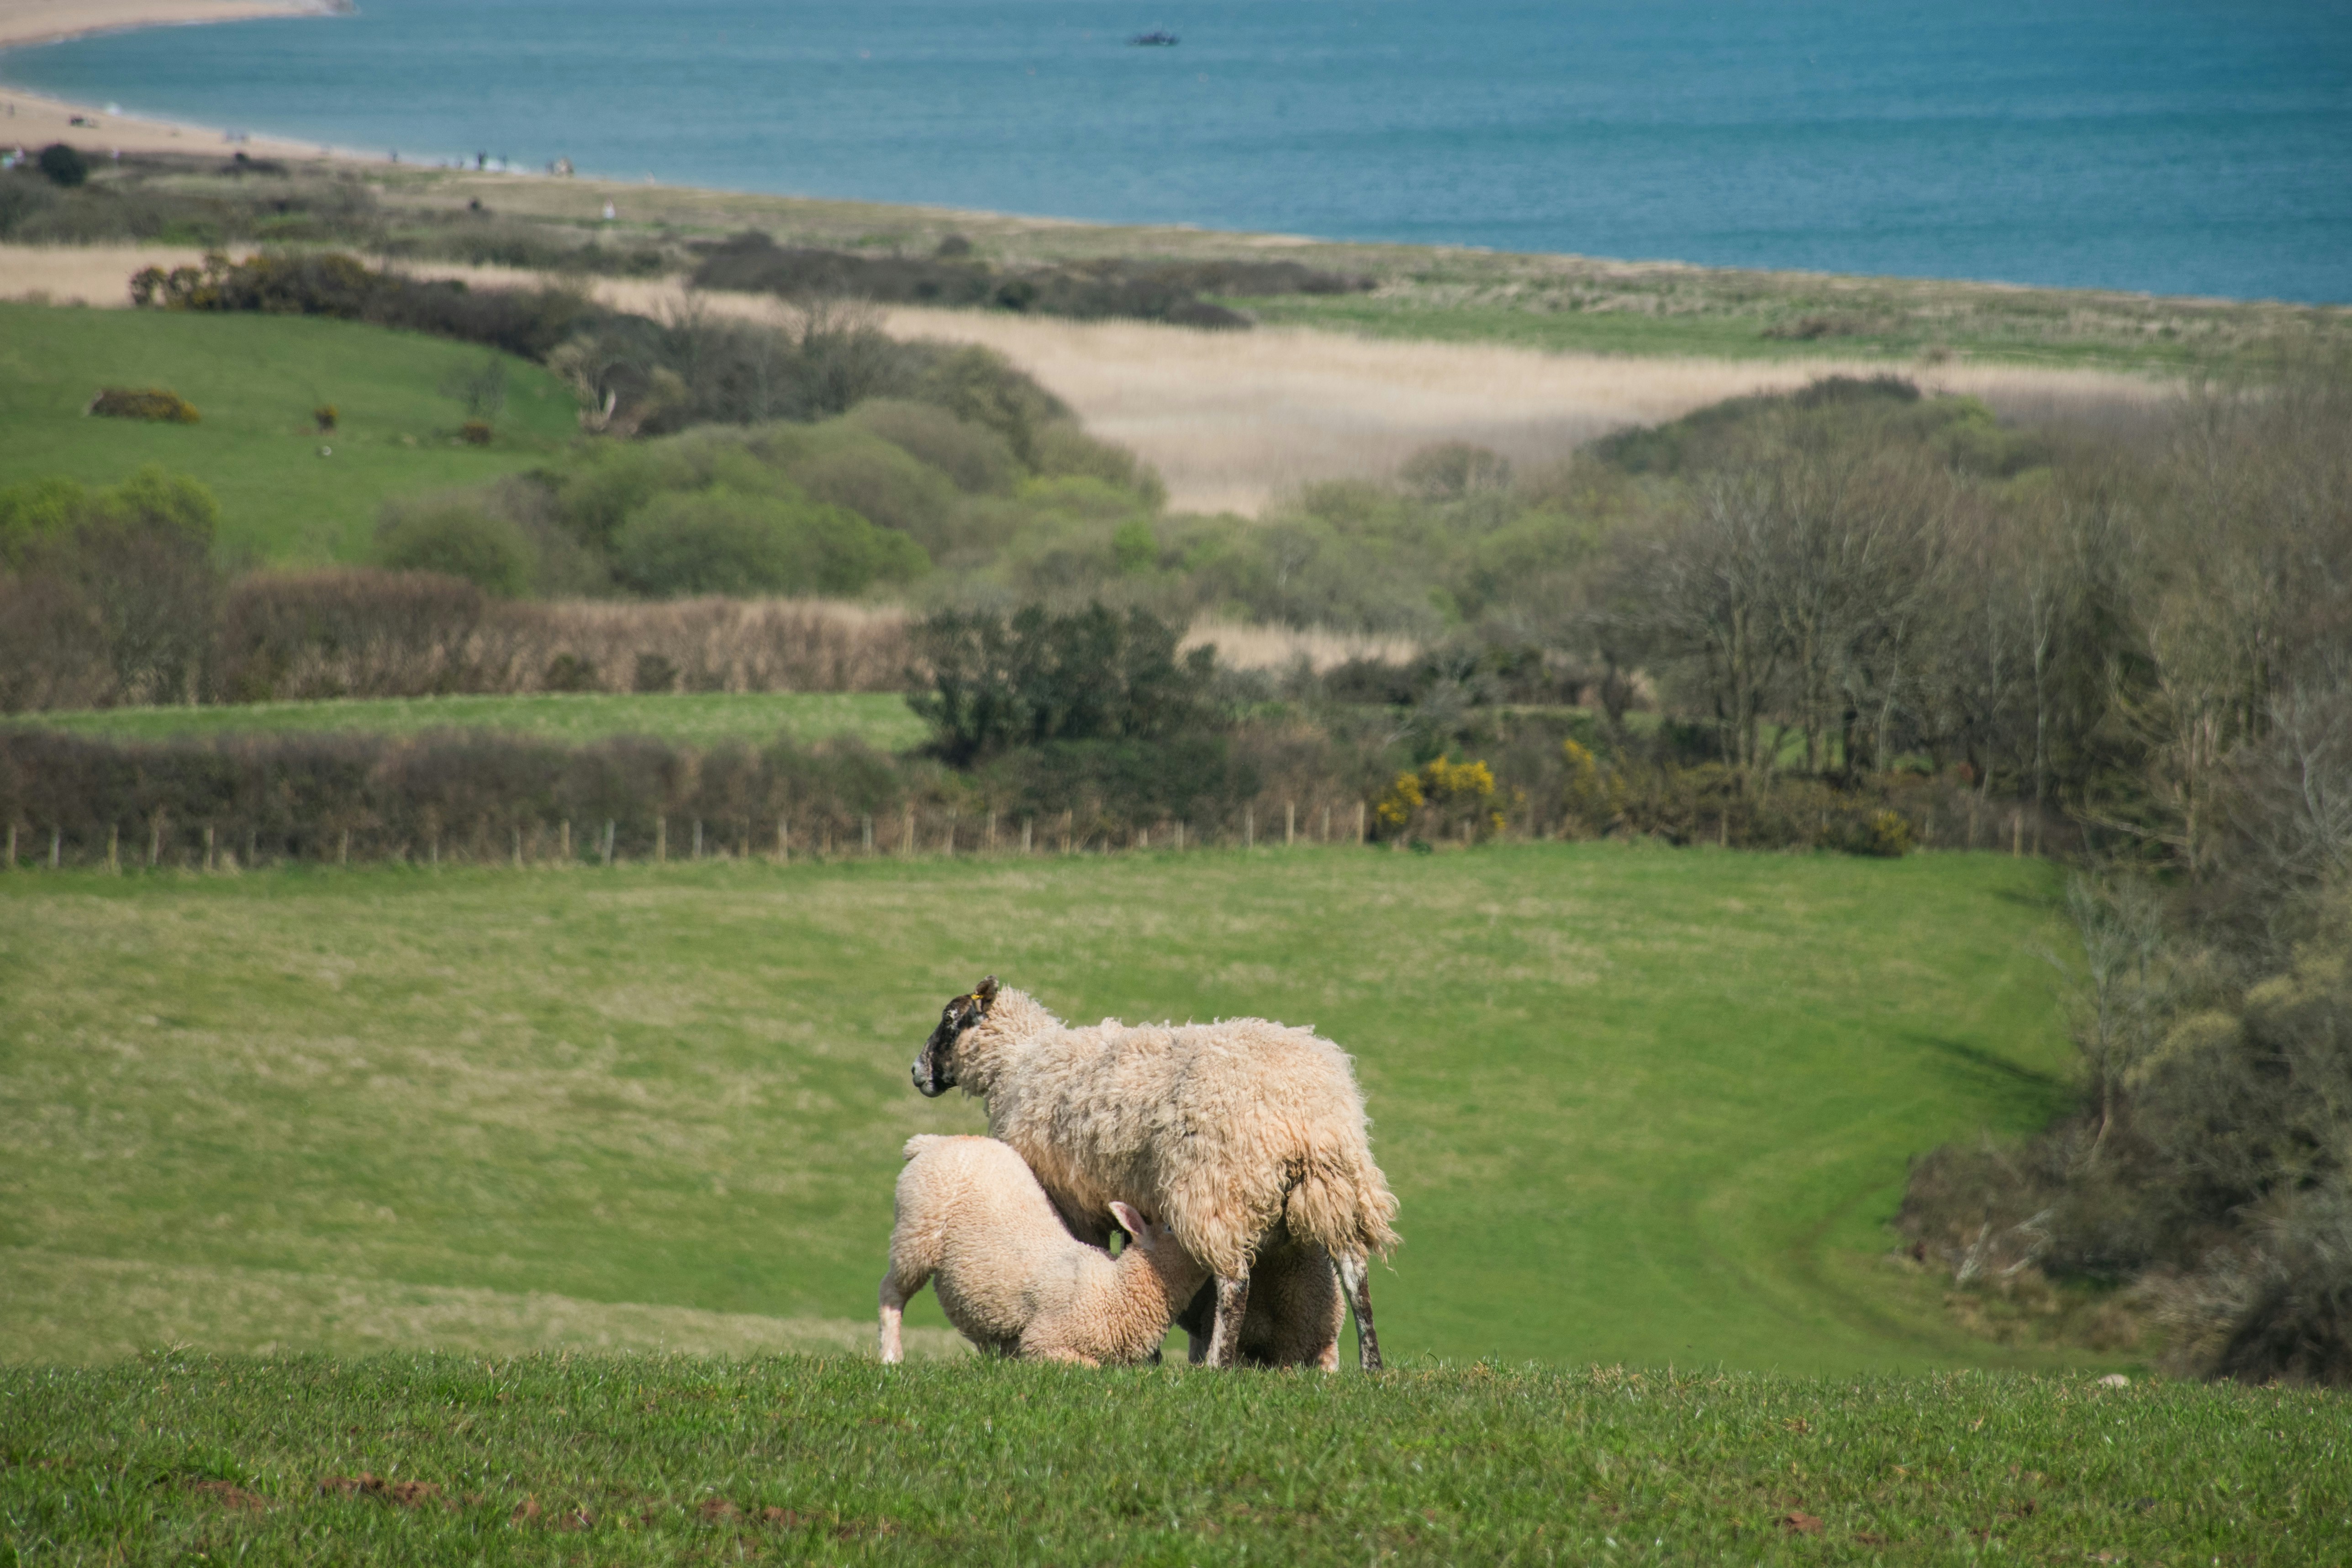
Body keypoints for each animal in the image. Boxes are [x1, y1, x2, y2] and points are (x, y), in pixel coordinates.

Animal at [878, 1134, 1208, 1366]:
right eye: (1170, 1228)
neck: (1115, 1289)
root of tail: (935, 1141)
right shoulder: (1044, 1339)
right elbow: (1088, 1365)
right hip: (917, 1227)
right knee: (892, 1291)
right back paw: (891, 1357)